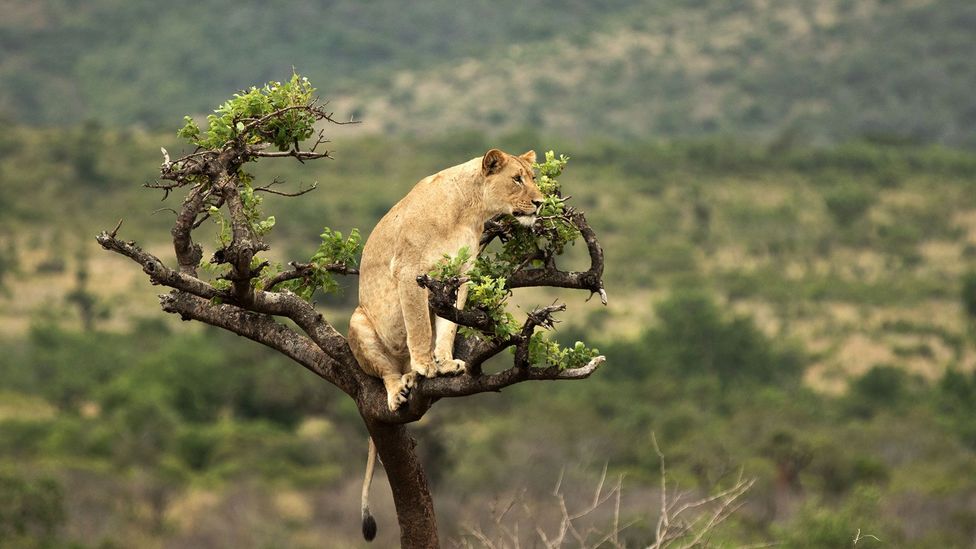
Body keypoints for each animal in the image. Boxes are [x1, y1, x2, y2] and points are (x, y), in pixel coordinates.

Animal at [348, 148, 544, 540]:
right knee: (387, 371)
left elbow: (449, 326)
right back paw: (402, 385)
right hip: (357, 320)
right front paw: (427, 365)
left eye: (532, 177)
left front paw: (445, 362)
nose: (540, 202)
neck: (470, 210)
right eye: (517, 179)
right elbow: (419, 326)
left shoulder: (460, 274)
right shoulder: (410, 272)